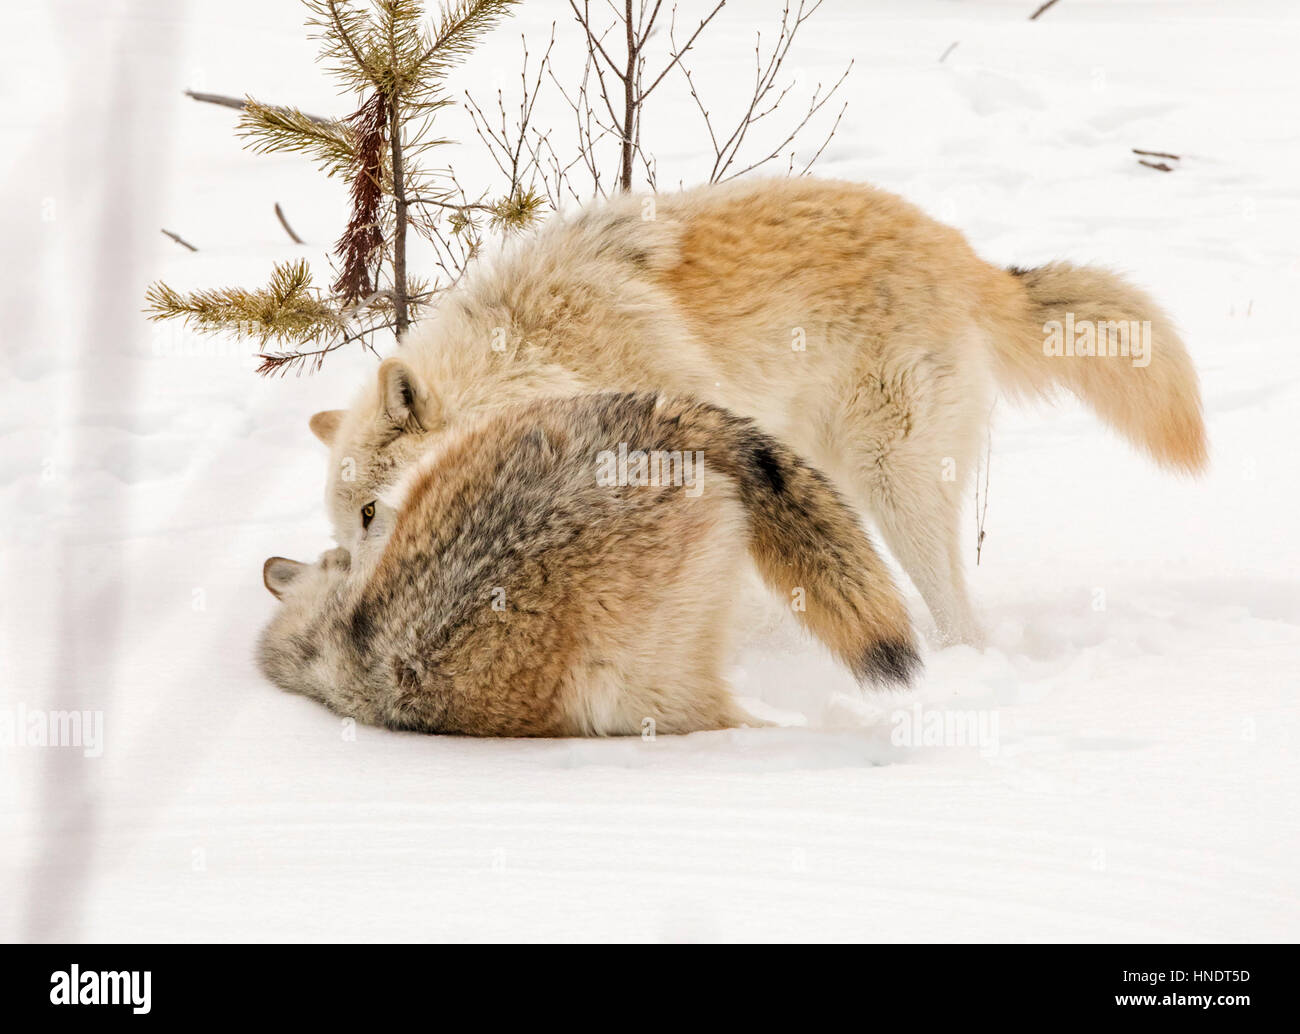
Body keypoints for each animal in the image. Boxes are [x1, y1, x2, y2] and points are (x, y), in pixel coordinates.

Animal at [308, 178, 1207, 645]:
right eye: (344, 527)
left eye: (371, 512)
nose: (351, 611)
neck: (539, 351)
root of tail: (968, 257)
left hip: (893, 485)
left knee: (958, 616)